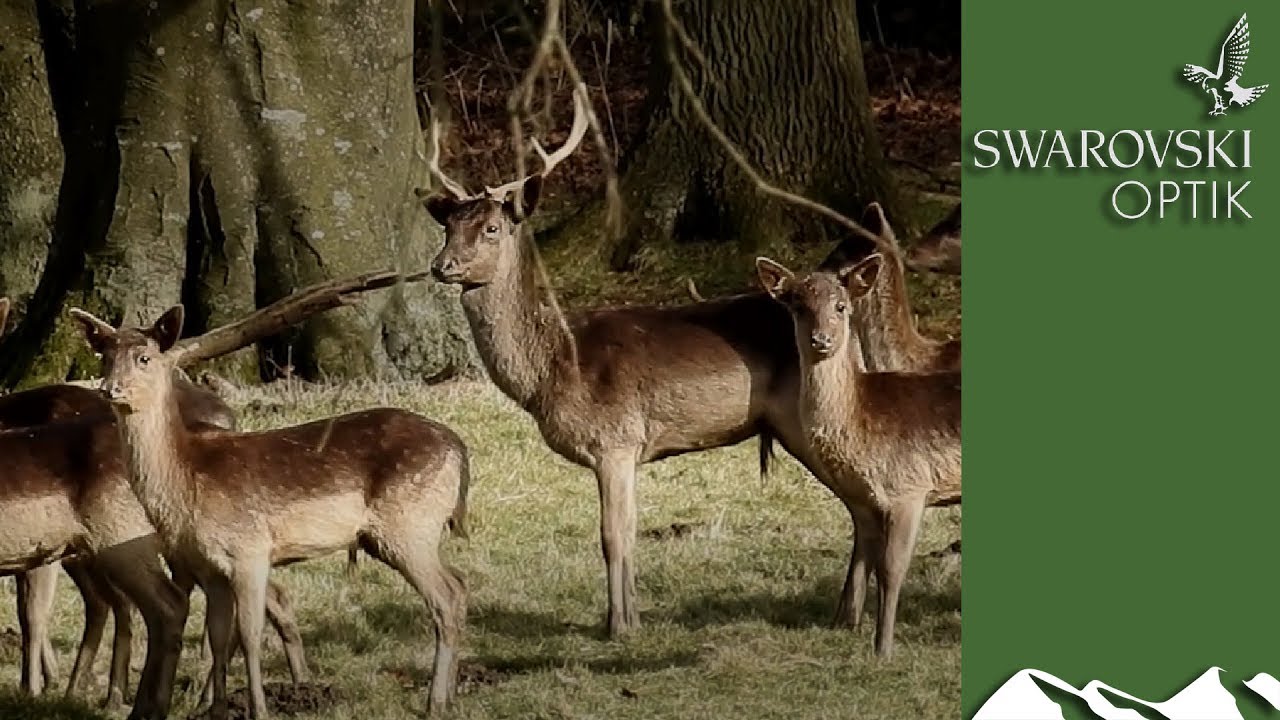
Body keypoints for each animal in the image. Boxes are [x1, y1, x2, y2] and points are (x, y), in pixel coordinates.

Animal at [70, 286, 470, 719]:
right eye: (106, 356)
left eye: (144, 357)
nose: (109, 389)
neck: (188, 480)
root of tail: (458, 448)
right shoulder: (208, 566)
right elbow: (217, 636)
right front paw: (216, 710)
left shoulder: (249, 548)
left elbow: (249, 634)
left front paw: (258, 710)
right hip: (412, 532)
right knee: (459, 583)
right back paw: (449, 695)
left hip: (407, 525)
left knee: (445, 597)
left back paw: (435, 702)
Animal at [418, 84, 877, 637]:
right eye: (449, 226)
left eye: (490, 228)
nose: (441, 265)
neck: (555, 368)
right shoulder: (629, 450)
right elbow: (632, 530)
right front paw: (630, 617)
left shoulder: (614, 439)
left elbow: (611, 535)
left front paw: (617, 626)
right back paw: (845, 613)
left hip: (807, 417)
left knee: (863, 503)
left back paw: (849, 614)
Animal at [755, 256, 961, 658]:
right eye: (798, 306)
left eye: (841, 306)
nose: (821, 339)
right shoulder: (866, 500)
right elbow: (863, 557)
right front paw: (850, 627)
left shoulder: (910, 485)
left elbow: (892, 569)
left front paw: (883, 649)